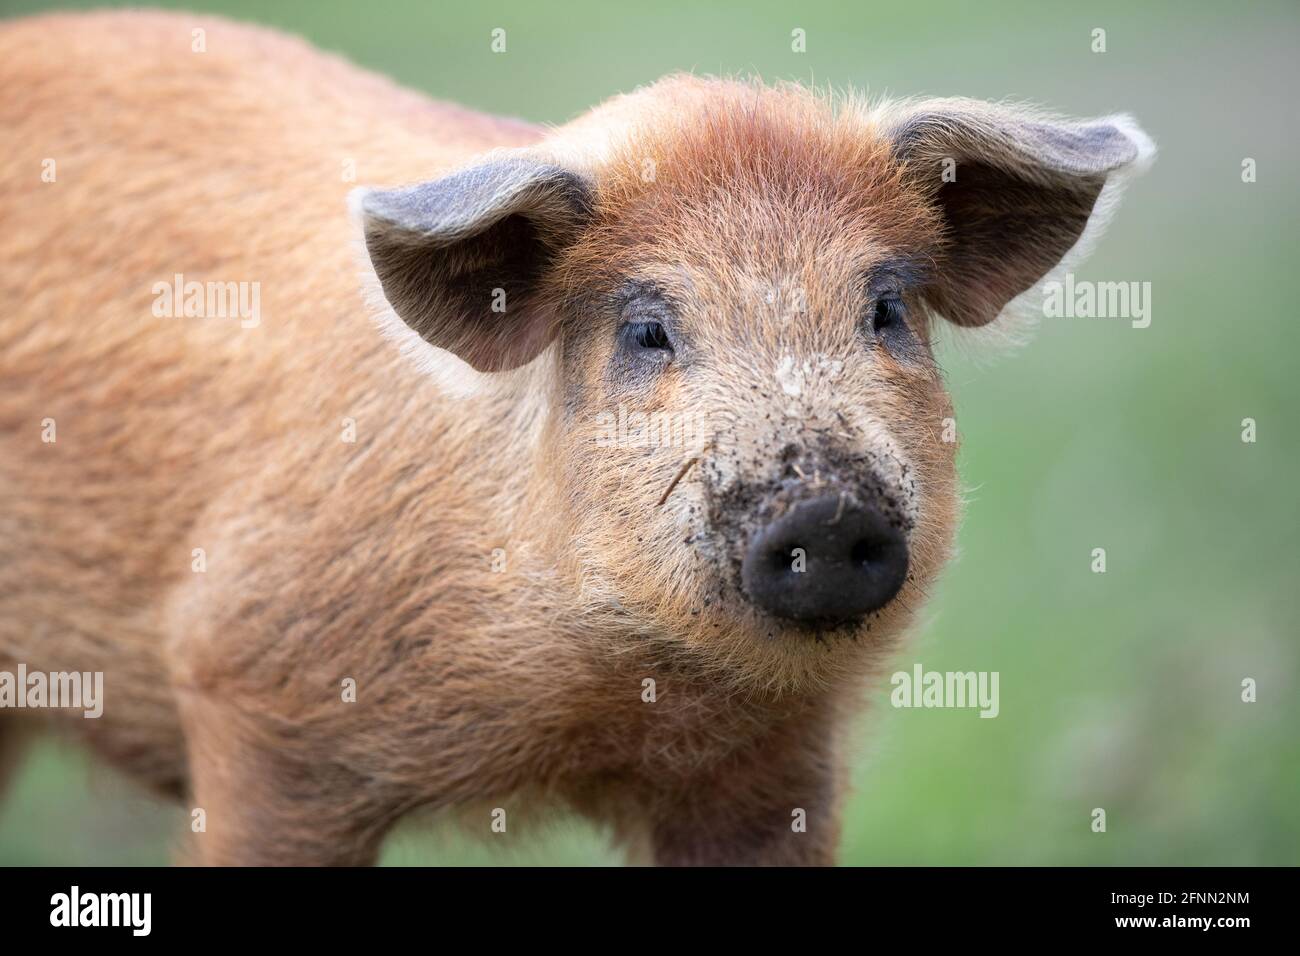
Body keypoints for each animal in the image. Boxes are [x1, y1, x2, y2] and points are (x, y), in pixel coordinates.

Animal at [0, 11, 1153, 865]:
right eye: (646, 330)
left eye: (884, 311)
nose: (825, 509)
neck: (605, 704)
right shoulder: (253, 688)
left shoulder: (779, 770)